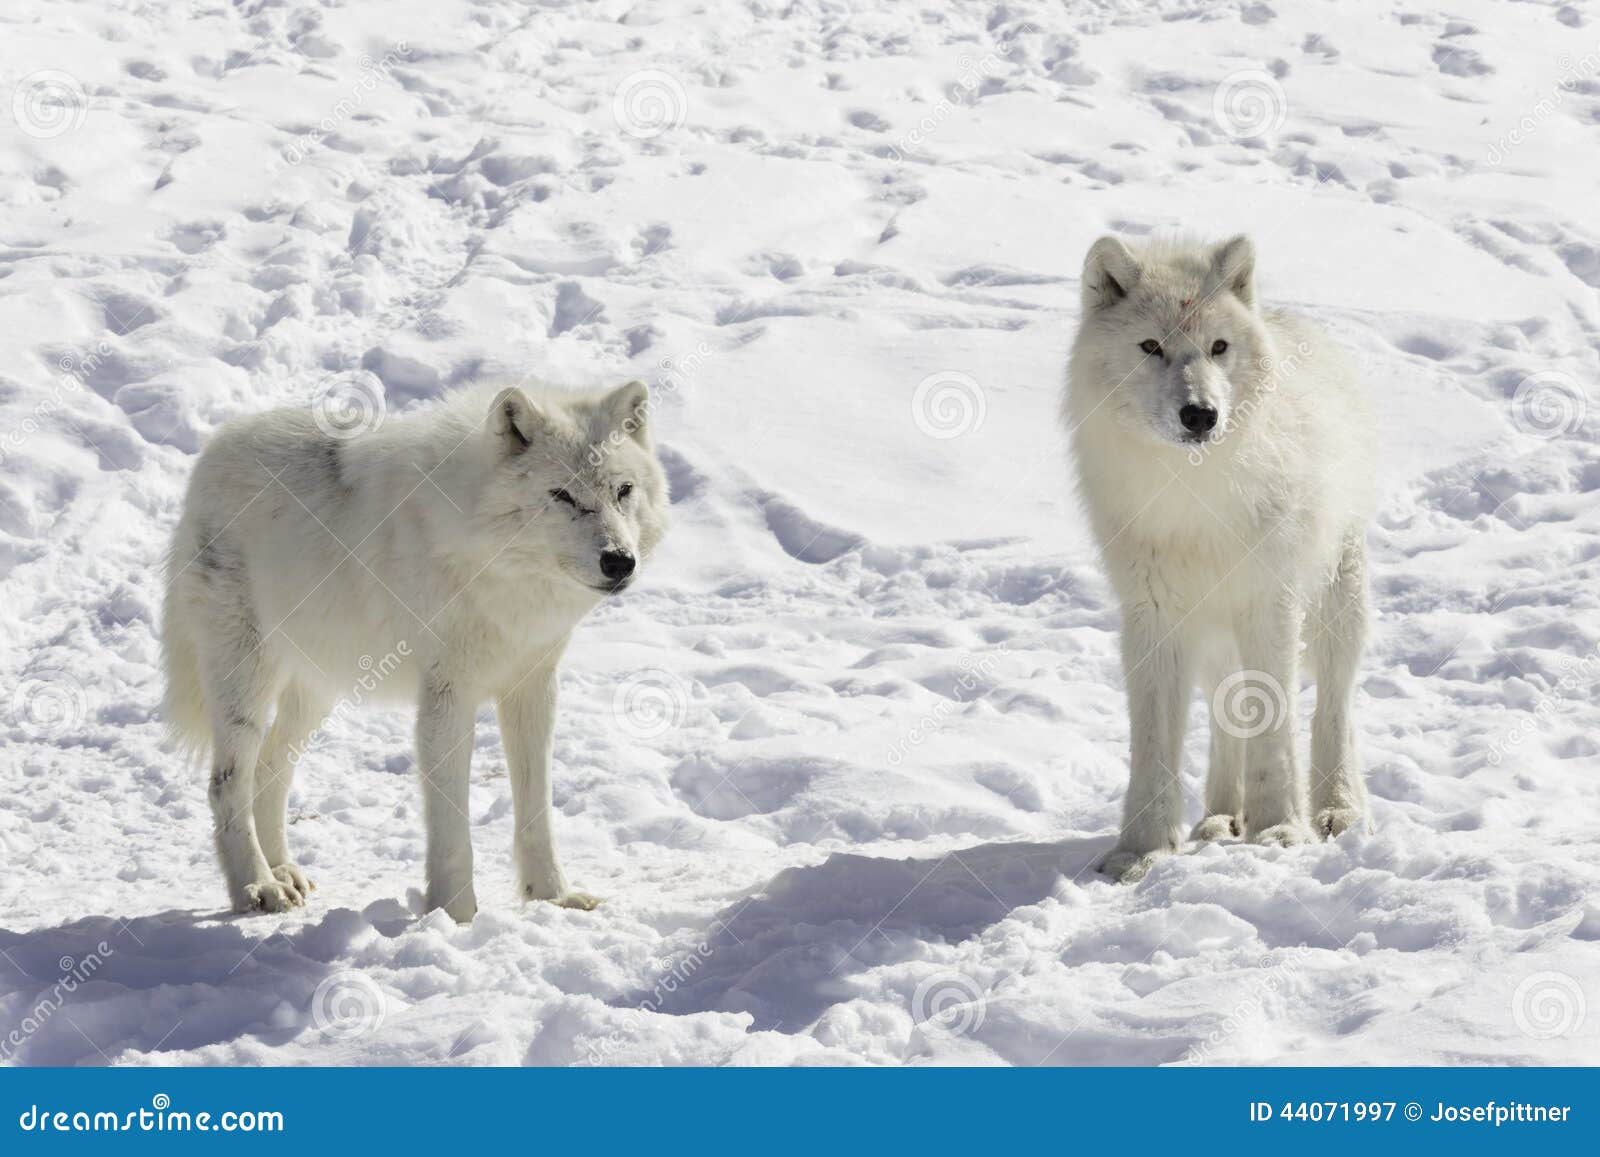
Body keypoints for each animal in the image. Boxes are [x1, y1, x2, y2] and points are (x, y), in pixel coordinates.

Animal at [162, 380, 670, 920]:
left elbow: (537, 810)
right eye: (562, 495)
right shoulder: (447, 695)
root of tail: (214, 451)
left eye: (623, 491)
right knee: (226, 784)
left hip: (316, 692)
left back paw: (284, 873)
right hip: (246, 684)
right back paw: (257, 887)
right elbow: (451, 827)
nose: (619, 561)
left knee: (271, 770)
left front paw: (553, 896)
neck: (495, 569)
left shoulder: (533, 686)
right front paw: (455, 916)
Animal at [1063, 234, 1375, 883]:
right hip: (1213, 638)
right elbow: (1155, 741)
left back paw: (1335, 810)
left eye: (1218, 347)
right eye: (1151, 346)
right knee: (1227, 714)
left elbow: (1275, 726)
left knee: (1334, 711)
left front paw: (1280, 830)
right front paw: (1141, 850)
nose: (1200, 414)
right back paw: (1218, 820)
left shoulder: (1269, 604)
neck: (1192, 496)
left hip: (1336, 603)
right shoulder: (1152, 615)